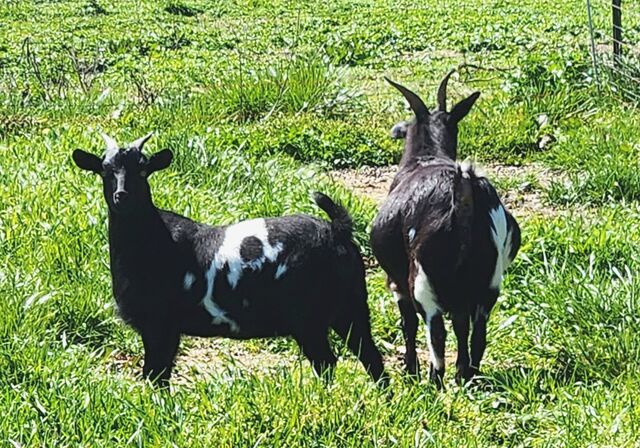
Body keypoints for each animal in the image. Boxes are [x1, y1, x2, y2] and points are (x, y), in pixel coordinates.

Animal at [72, 132, 386, 386]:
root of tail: (336, 231)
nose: (121, 195)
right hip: (350, 307)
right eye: (105, 170)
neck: (155, 241)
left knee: (329, 361)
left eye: (142, 169)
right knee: (369, 357)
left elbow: (156, 376)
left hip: (310, 317)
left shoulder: (161, 325)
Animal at [370, 72, 520, 387]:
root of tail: (462, 190)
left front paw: (410, 371)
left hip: (422, 280)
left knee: (435, 330)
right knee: (478, 333)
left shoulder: (397, 283)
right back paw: (466, 375)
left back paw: (434, 379)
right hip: (489, 281)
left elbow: (408, 324)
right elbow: (462, 326)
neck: (425, 158)